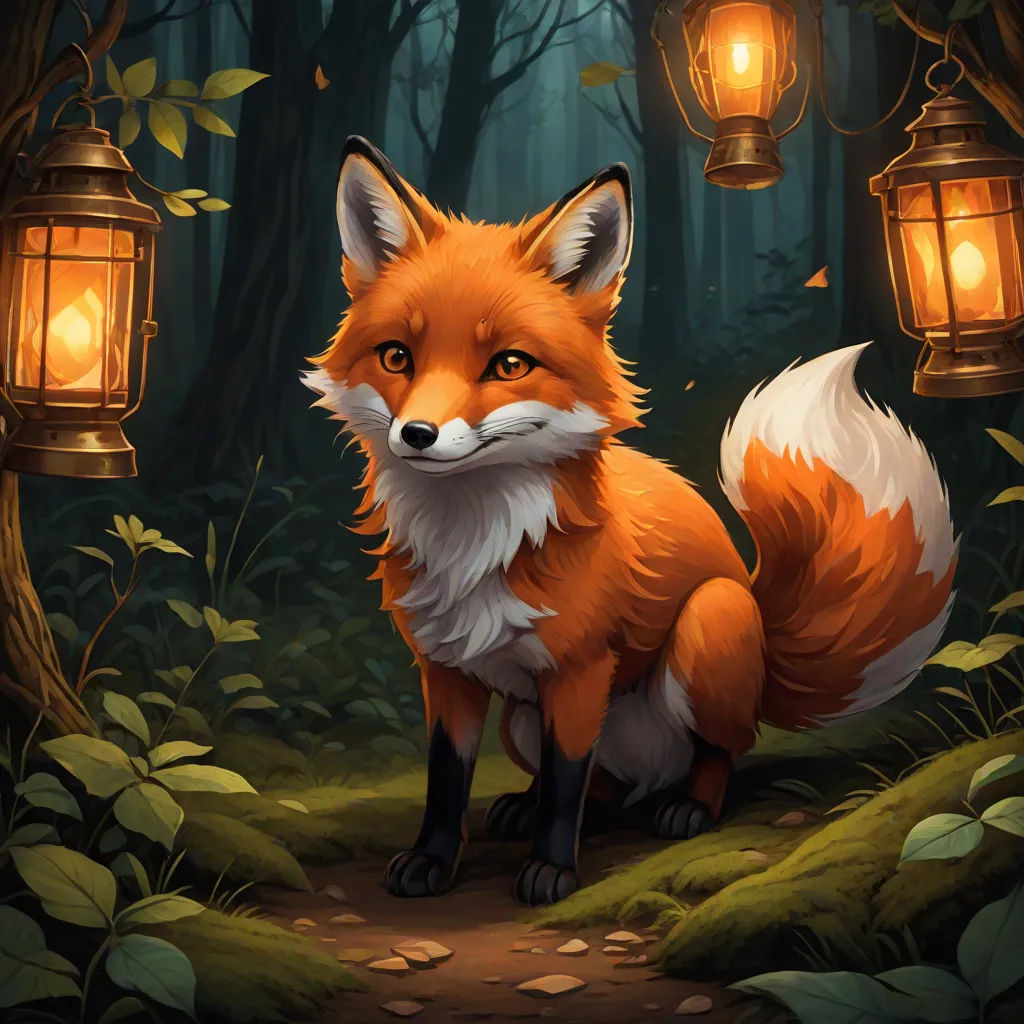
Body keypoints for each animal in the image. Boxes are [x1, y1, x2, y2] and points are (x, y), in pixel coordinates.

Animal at [303, 136, 957, 906]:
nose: (418, 435)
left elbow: (566, 783)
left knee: (720, 751)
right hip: (523, 719)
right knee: (608, 784)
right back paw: (529, 804)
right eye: (397, 356)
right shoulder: (447, 672)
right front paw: (433, 860)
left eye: (509, 364)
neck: (478, 543)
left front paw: (553, 871)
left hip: (706, 628)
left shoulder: (582, 671)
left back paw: (690, 808)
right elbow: (448, 779)